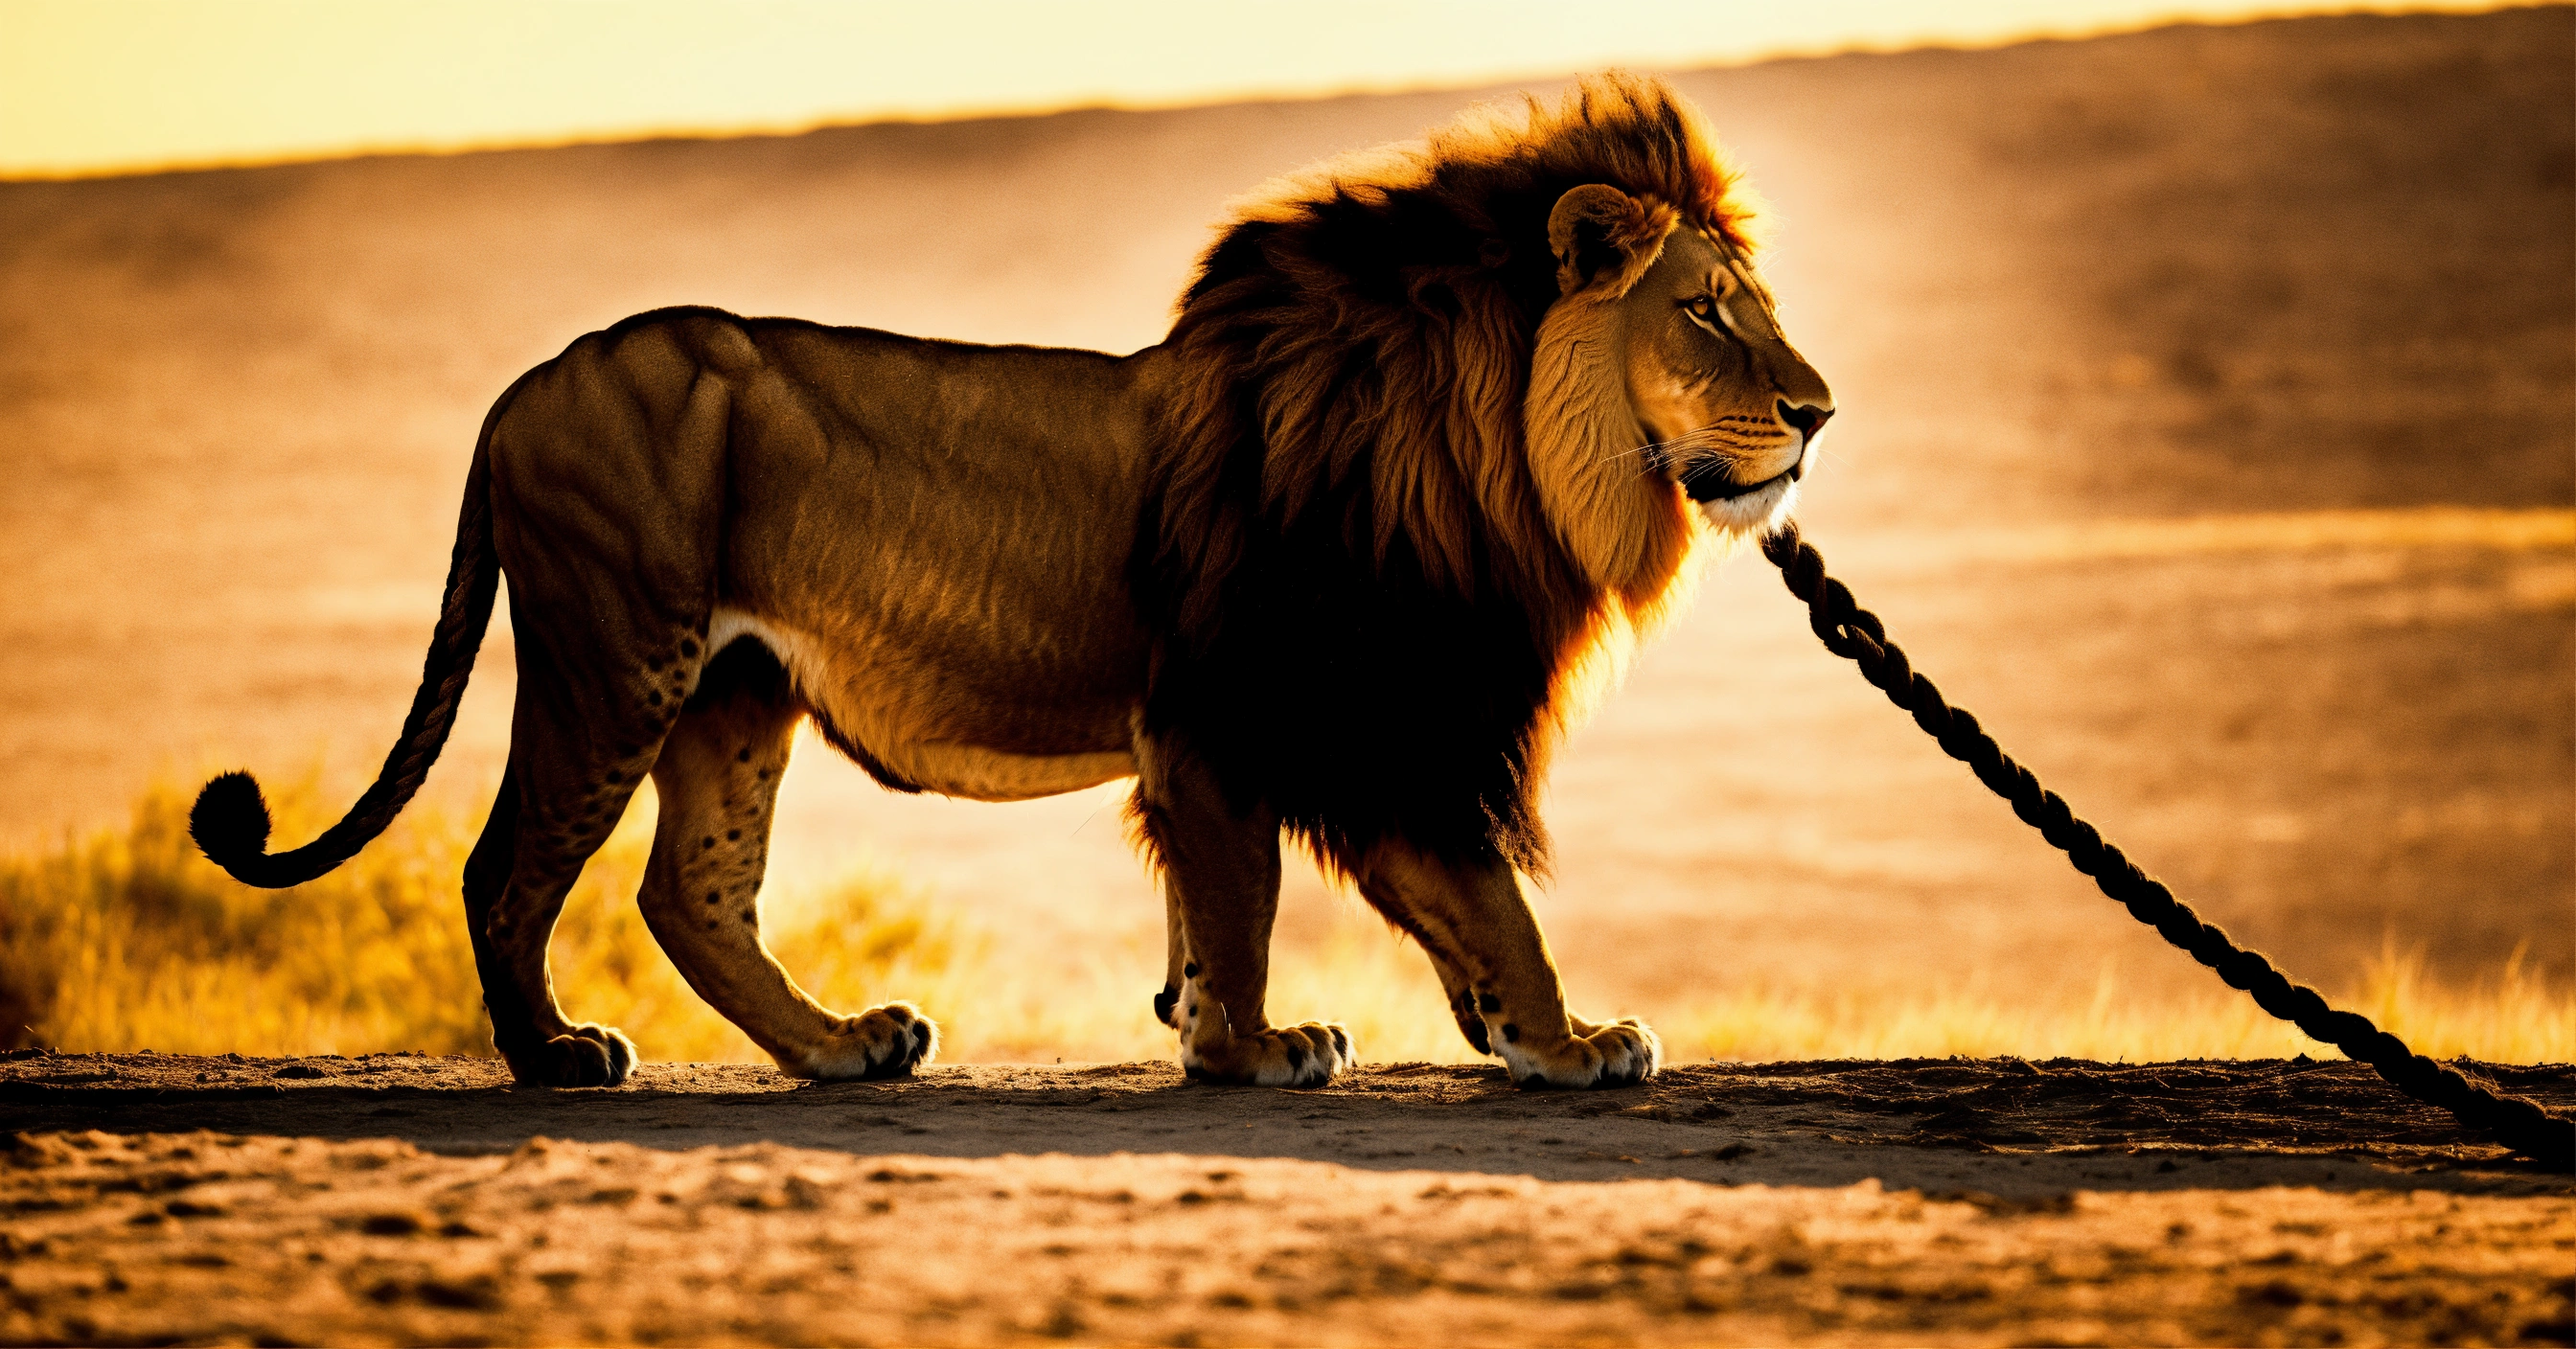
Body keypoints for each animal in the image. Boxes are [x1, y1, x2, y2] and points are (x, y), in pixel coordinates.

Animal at [189, 72, 1832, 1091]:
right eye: (1704, 313)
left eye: (1752, 308)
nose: (1819, 412)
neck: (1492, 452)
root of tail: (517, 392)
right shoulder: (1290, 717)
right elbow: (1378, 902)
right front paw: (1304, 1048)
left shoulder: (1337, 722)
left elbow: (1374, 908)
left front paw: (1466, 1037)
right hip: (618, 649)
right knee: (506, 869)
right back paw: (554, 1056)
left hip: (733, 690)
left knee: (688, 893)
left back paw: (841, 1044)